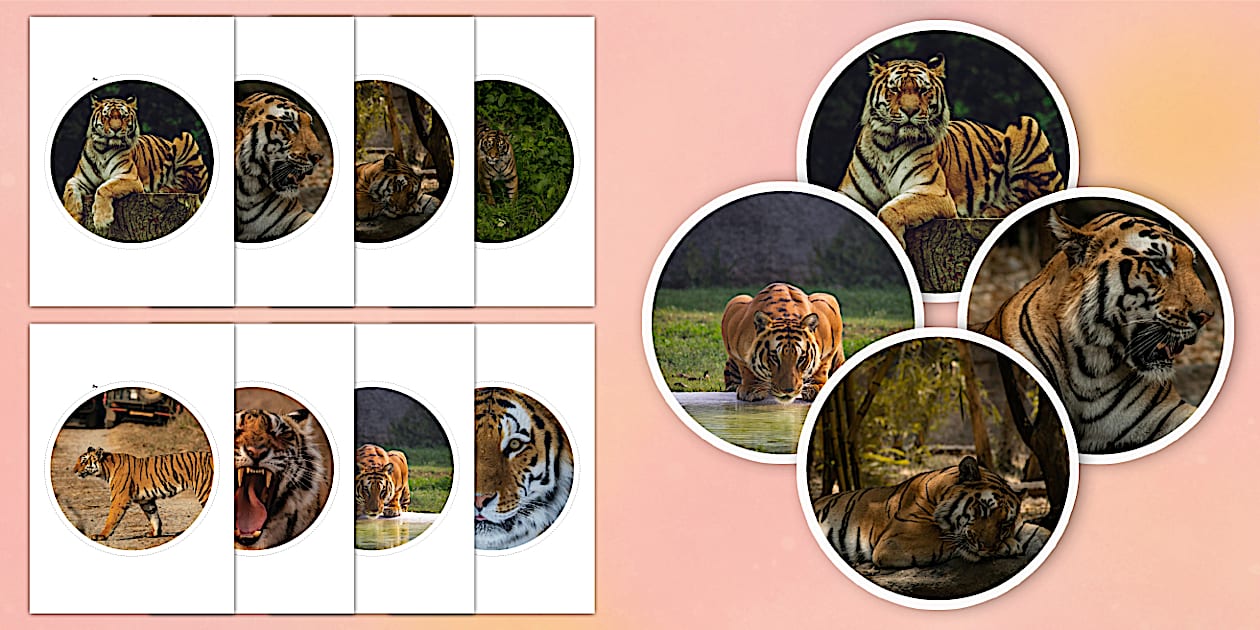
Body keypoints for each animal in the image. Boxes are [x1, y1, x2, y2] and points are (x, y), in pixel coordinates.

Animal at [62, 95, 209, 232]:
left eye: (124, 116)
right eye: (107, 116)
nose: (116, 129)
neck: (103, 150)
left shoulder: (130, 177)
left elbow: (104, 188)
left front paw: (102, 220)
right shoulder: (79, 179)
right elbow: (69, 189)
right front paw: (74, 215)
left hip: (184, 138)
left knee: (188, 186)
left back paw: (164, 189)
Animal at [72, 446, 213, 541]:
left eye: (83, 461)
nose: (74, 471)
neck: (105, 469)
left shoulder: (119, 499)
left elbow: (111, 518)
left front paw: (101, 535)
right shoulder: (146, 500)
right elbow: (153, 516)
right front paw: (154, 533)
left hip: (204, 490)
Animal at [812, 456, 1048, 569]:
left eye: (1005, 524)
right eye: (983, 508)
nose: (986, 548)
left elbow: (1037, 531)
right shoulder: (895, 541)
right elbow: (948, 539)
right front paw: (1009, 545)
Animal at [838, 54, 1064, 247]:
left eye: (923, 90)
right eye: (895, 90)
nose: (910, 111)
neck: (888, 145)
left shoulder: (933, 191)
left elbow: (889, 210)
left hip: (1026, 123)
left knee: (1028, 200)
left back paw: (988, 211)